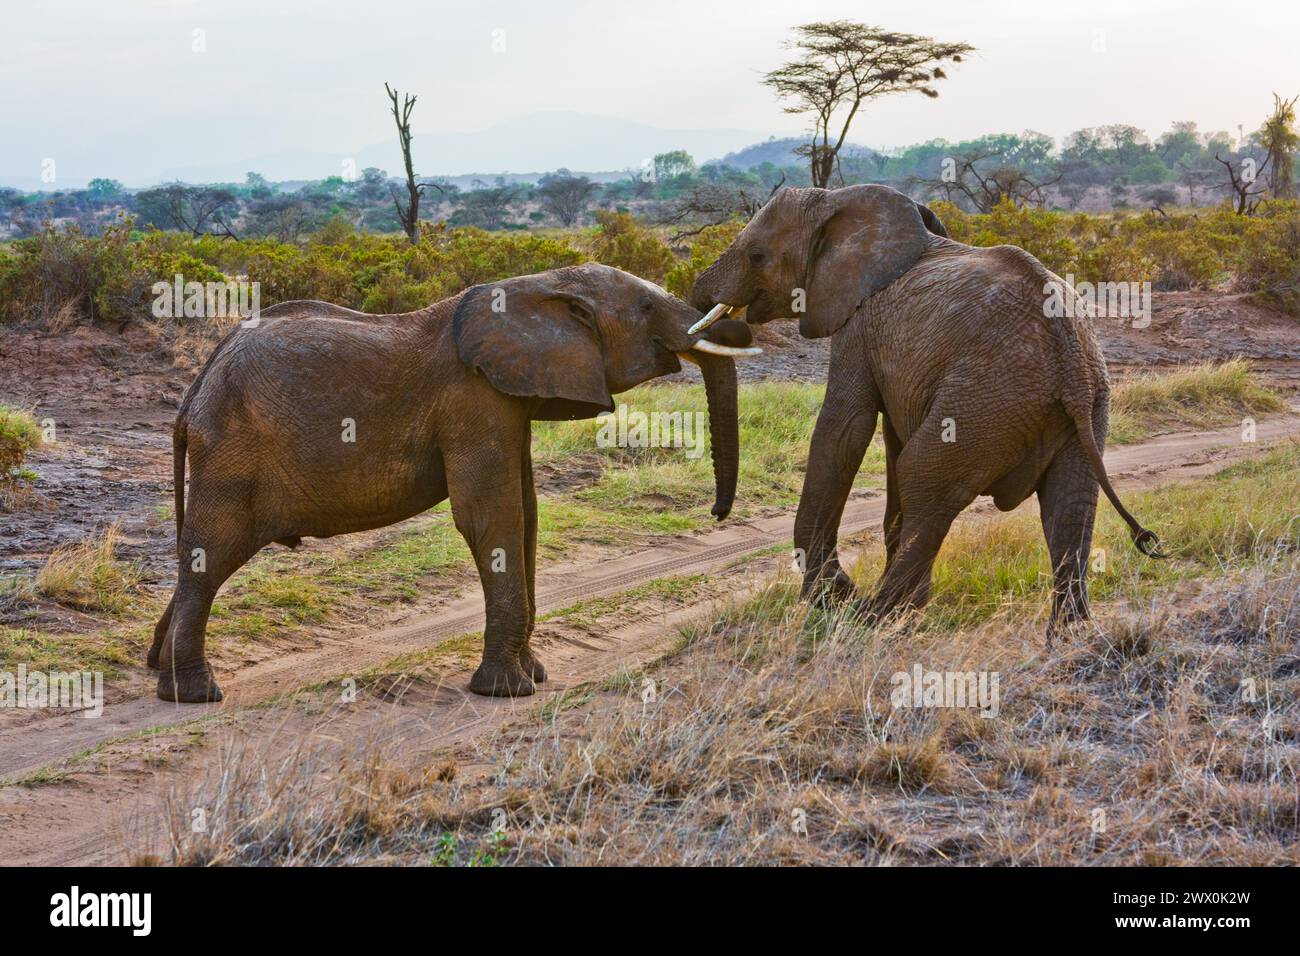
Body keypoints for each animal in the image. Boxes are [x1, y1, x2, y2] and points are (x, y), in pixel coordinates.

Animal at [150, 263, 759, 703]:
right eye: (648, 307)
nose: (716, 514)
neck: (540, 285)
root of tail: (194, 389)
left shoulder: (508, 401)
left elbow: (526, 514)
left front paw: (534, 674)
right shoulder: (473, 398)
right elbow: (492, 517)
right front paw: (507, 691)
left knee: (197, 558)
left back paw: (161, 671)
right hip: (231, 451)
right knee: (212, 554)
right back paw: (195, 694)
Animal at [690, 184, 1160, 638]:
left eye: (757, 255)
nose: (717, 513)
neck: (837, 199)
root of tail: (1072, 368)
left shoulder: (860, 322)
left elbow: (845, 428)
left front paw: (830, 597)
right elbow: (889, 442)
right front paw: (843, 595)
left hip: (985, 402)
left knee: (923, 479)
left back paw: (871, 619)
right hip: (1081, 409)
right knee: (1070, 502)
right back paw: (1068, 640)